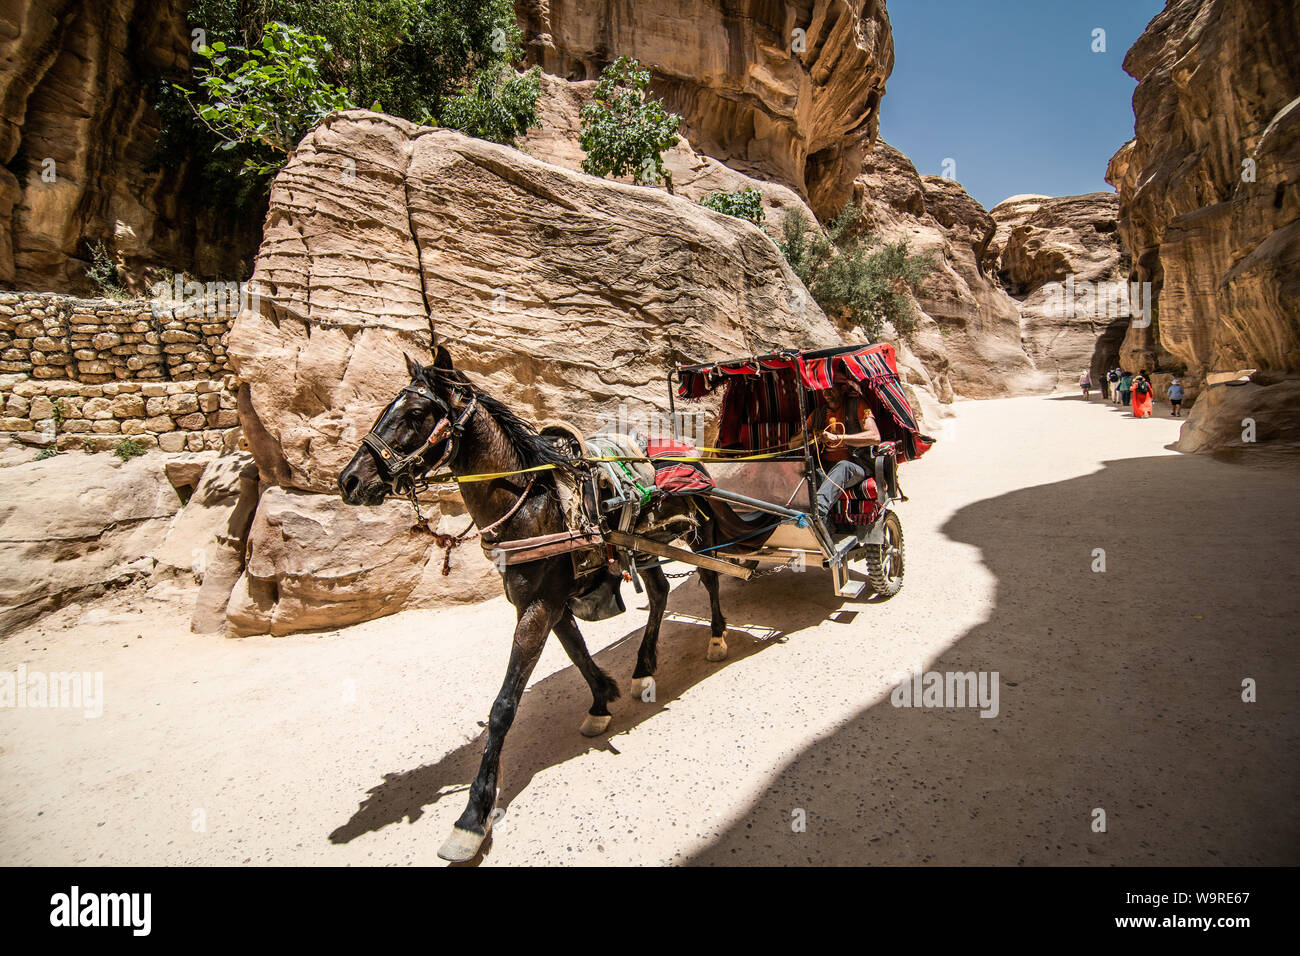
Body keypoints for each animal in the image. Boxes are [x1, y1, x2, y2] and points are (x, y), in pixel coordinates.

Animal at [337, 345, 729, 862]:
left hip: (696, 534)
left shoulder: (539, 607)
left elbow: (503, 706)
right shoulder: (547, 604)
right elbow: (578, 654)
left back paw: (718, 637)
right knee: (662, 592)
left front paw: (472, 818)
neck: (532, 505)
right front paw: (601, 701)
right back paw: (644, 668)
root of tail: (682, 446)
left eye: (416, 413)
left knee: (712, 577)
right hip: (647, 545)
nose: (348, 480)